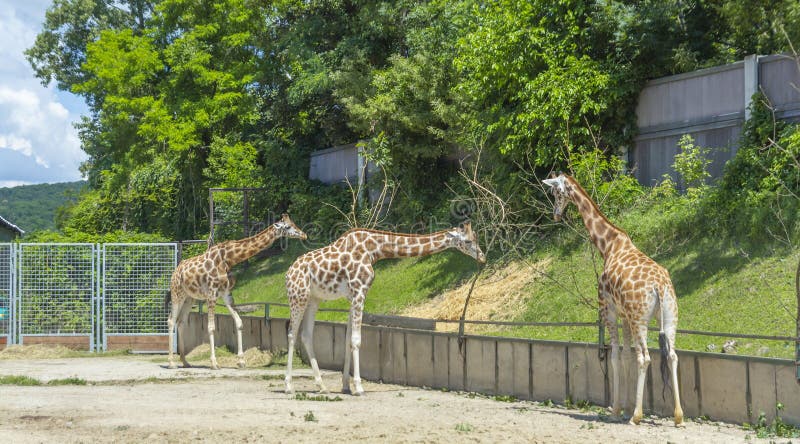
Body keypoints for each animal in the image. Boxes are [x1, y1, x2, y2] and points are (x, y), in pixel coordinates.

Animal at [166, 213, 307, 370]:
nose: (304, 235)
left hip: (189, 298)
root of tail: (175, 271)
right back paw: (171, 363)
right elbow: (211, 327)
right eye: (288, 226)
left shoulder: (226, 293)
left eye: (293, 223)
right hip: (177, 293)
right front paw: (214, 363)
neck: (228, 259)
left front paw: (241, 361)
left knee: (181, 322)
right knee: (171, 320)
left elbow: (239, 323)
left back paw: (185, 361)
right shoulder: (211, 294)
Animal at [283, 222, 486, 395]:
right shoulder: (359, 292)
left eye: (476, 237)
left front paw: (346, 386)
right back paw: (289, 386)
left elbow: (348, 339)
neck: (375, 249)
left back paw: (322, 386)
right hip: (298, 296)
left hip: (313, 299)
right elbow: (356, 340)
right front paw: (359, 388)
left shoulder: (352, 296)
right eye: (468, 241)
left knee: (306, 335)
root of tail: (288, 273)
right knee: (292, 334)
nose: (483, 257)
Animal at [543, 173, 683, 426]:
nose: (556, 214)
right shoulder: (625, 315)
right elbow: (626, 355)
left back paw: (637, 416)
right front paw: (625, 407)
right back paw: (678, 416)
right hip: (669, 316)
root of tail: (659, 287)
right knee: (672, 356)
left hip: (640, 319)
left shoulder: (607, 309)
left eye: (555, 192)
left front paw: (618, 409)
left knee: (645, 358)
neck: (607, 246)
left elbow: (616, 356)